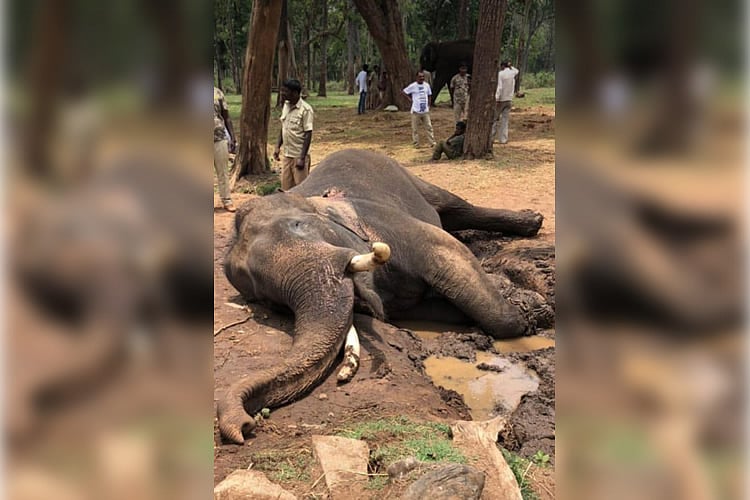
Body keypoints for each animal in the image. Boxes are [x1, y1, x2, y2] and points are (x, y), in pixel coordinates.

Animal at [218, 149, 551, 444]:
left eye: (298, 226)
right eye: (267, 299)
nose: (245, 426)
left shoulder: (383, 222)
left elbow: (446, 250)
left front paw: (533, 313)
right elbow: (421, 306)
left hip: (403, 173)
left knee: (453, 206)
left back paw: (532, 222)